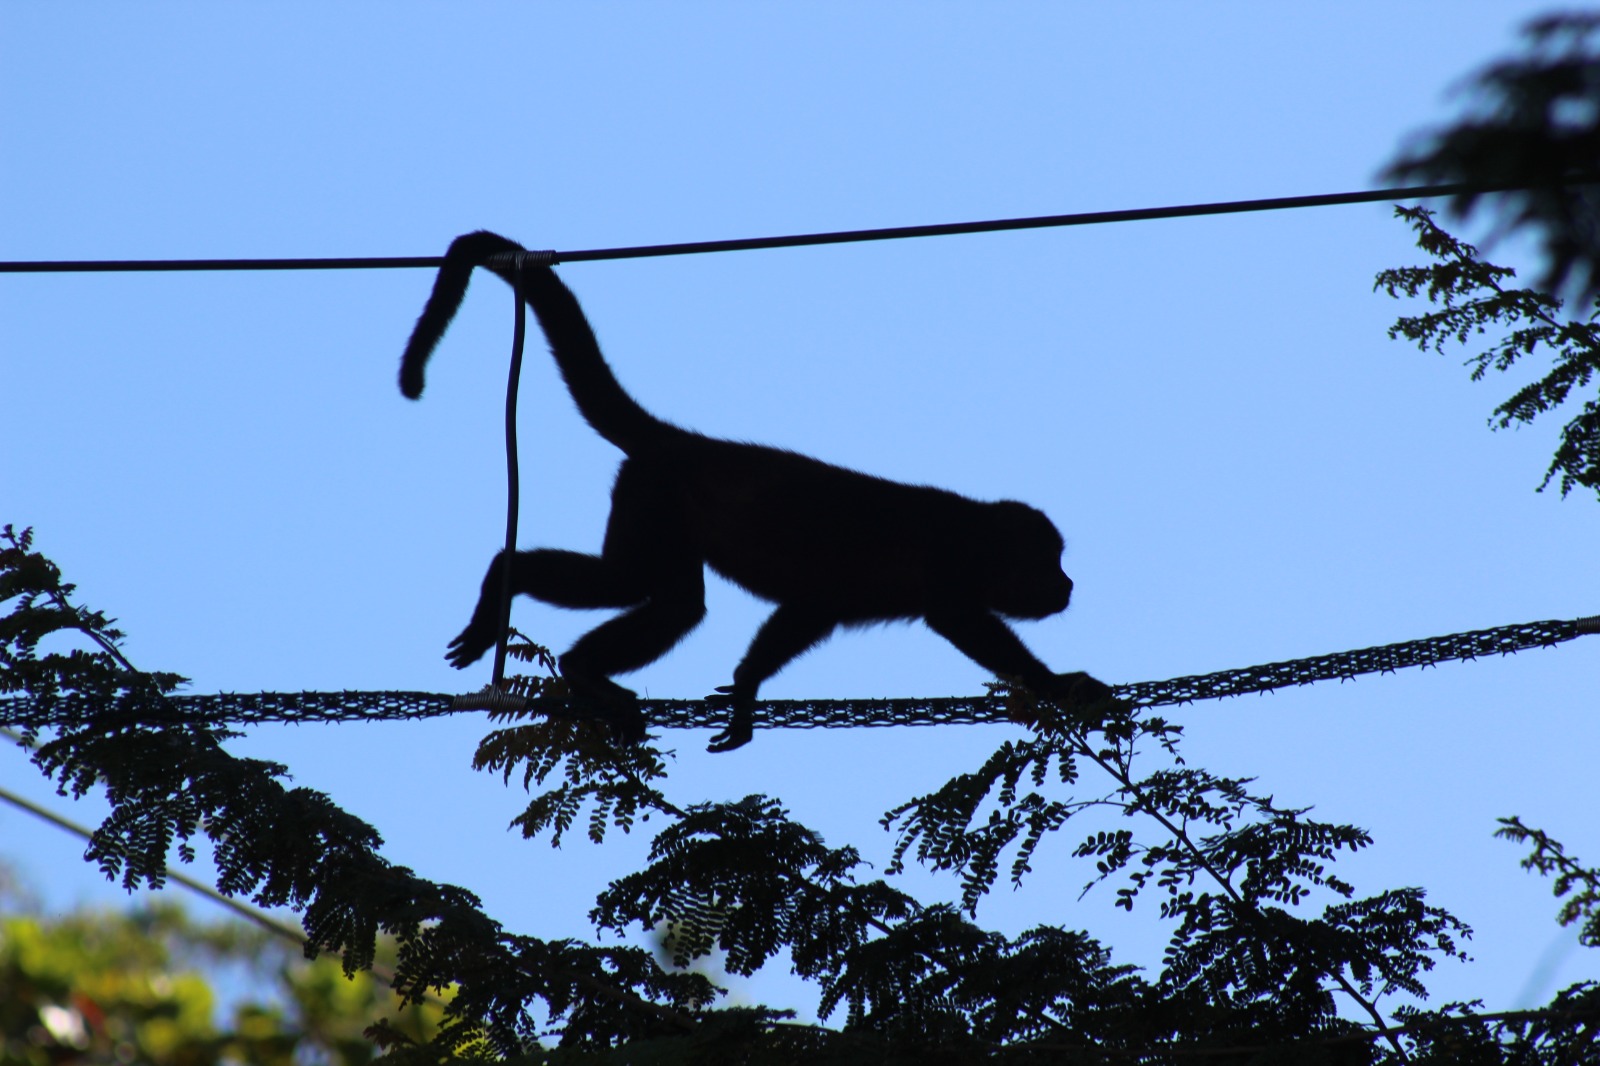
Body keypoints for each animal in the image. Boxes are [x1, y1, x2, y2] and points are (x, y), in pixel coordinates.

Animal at [400, 231, 1113, 752]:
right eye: (1049, 560)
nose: (1068, 583)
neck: (975, 536)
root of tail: (684, 443)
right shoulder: (947, 569)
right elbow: (962, 624)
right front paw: (1061, 683)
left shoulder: (841, 595)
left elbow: (810, 610)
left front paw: (744, 693)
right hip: (655, 495)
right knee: (637, 586)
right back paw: (534, 611)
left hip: (654, 501)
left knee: (672, 600)